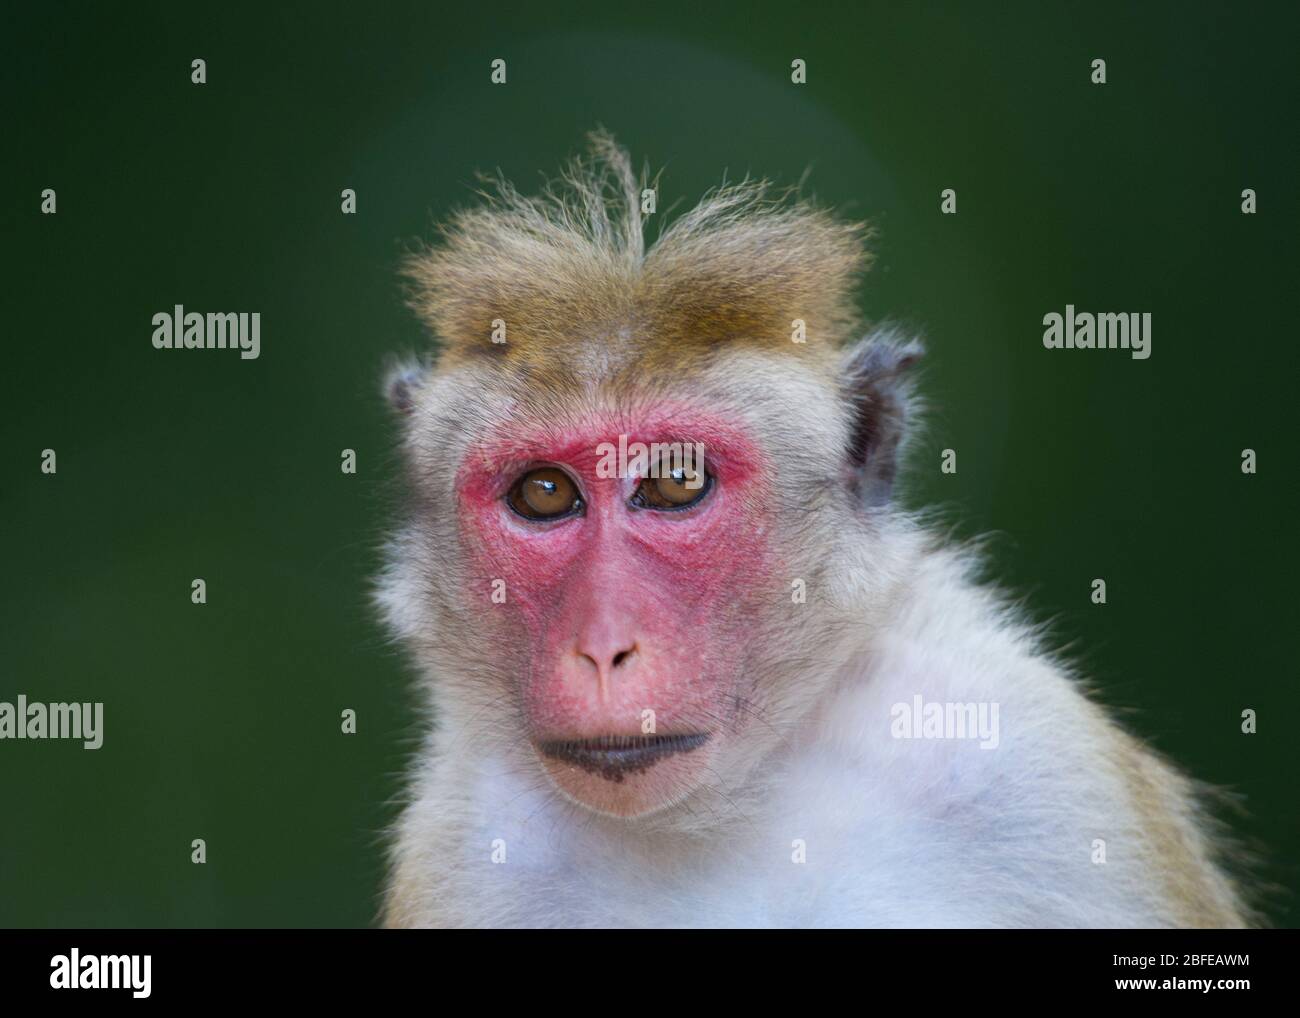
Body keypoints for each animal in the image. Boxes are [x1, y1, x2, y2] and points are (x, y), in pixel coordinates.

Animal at [375, 132, 1253, 929]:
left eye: (674, 481)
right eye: (546, 494)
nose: (602, 646)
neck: (731, 802)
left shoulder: (1040, 769)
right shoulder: (464, 848)